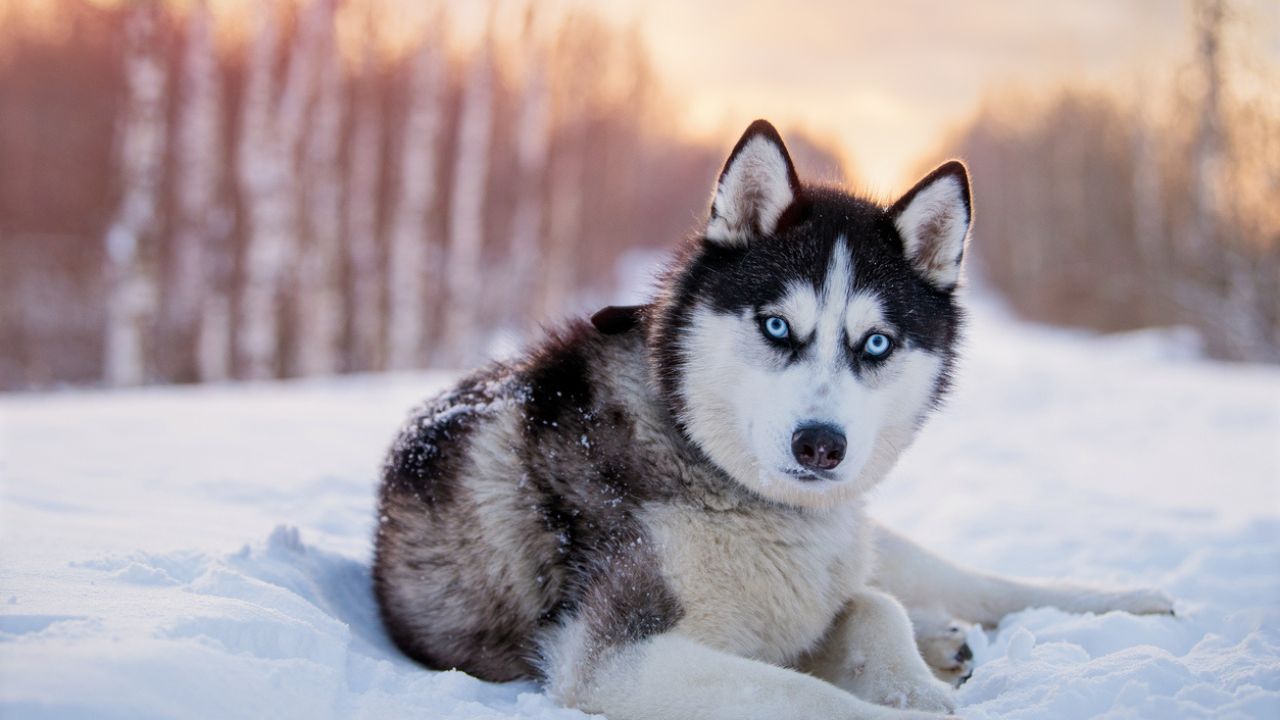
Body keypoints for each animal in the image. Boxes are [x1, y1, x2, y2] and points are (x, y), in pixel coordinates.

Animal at [373, 120, 1174, 719]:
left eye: (875, 343)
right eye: (778, 326)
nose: (820, 446)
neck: (710, 464)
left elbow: (873, 607)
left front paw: (912, 675)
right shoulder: (616, 660)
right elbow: (815, 690)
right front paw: (908, 687)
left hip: (873, 535)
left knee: (967, 582)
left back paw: (1125, 603)